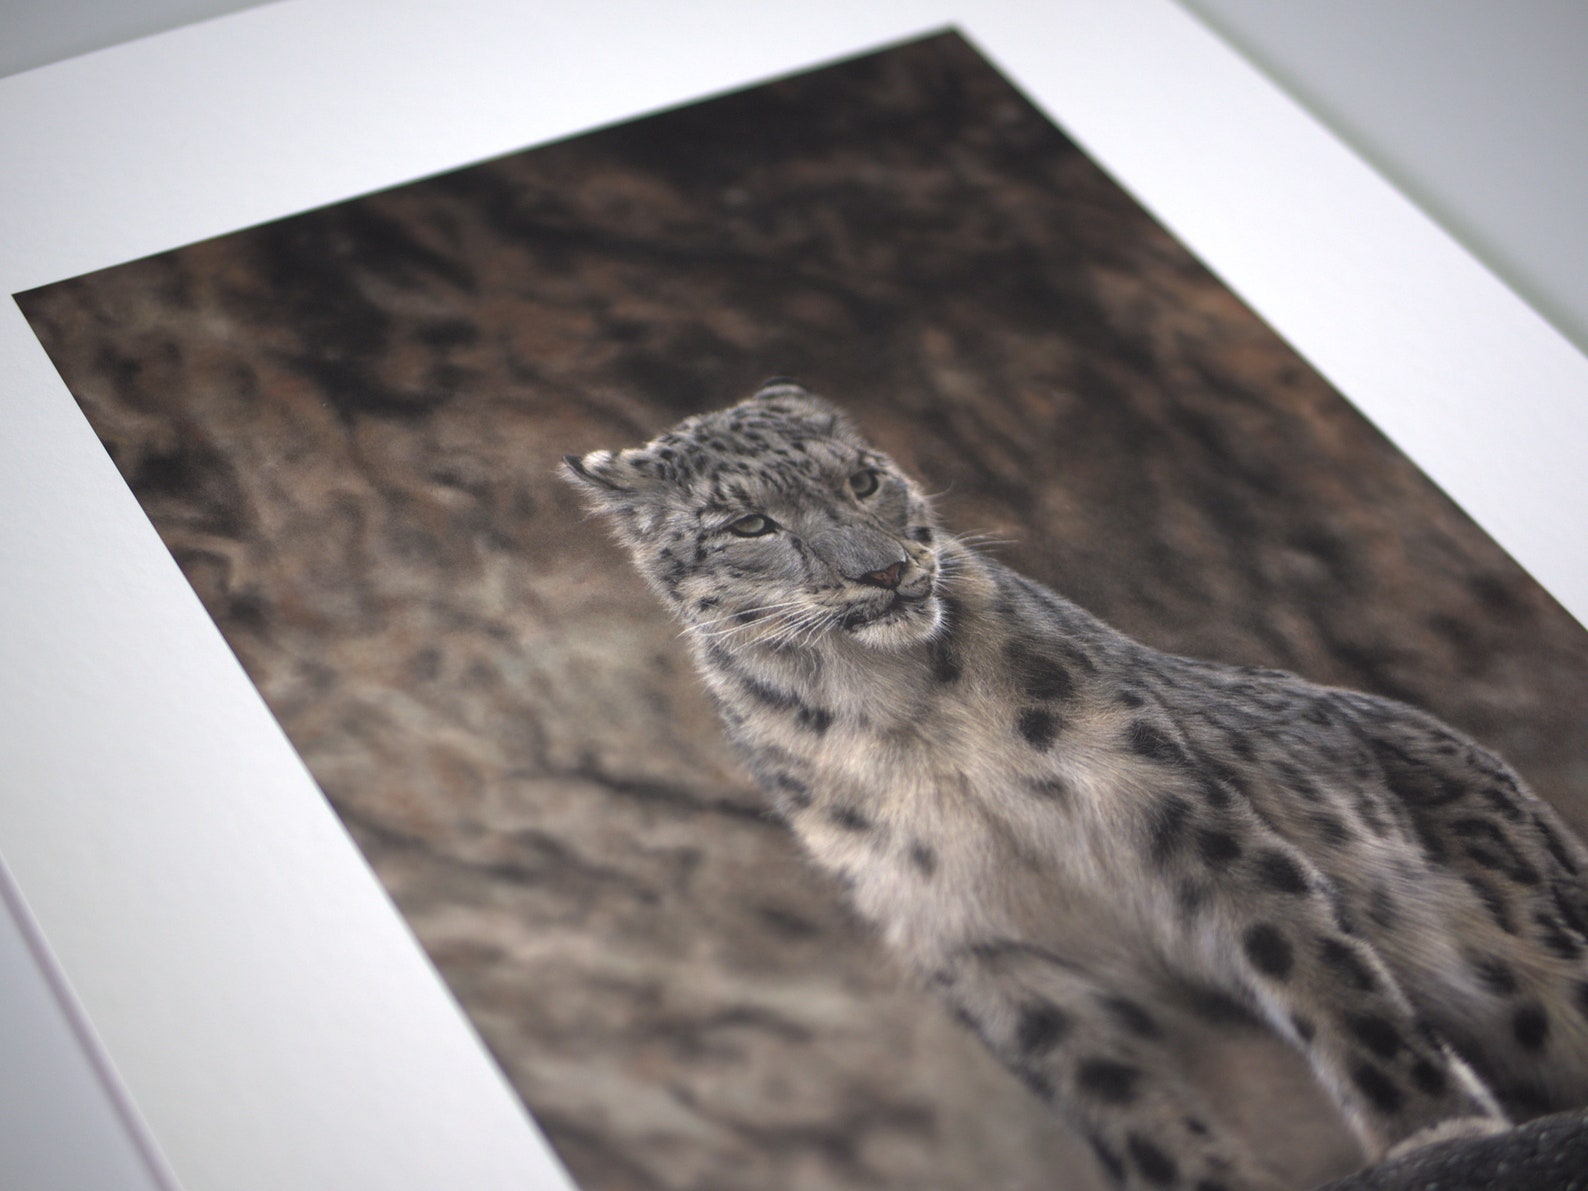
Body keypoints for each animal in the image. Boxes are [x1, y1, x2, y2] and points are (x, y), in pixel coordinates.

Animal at [562, 379, 1588, 1190]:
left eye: (858, 478)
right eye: (750, 524)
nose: (883, 570)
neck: (895, 714)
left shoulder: (1170, 807)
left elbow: (1324, 975)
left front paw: (1432, 1132)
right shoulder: (970, 934)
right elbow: (1121, 1103)